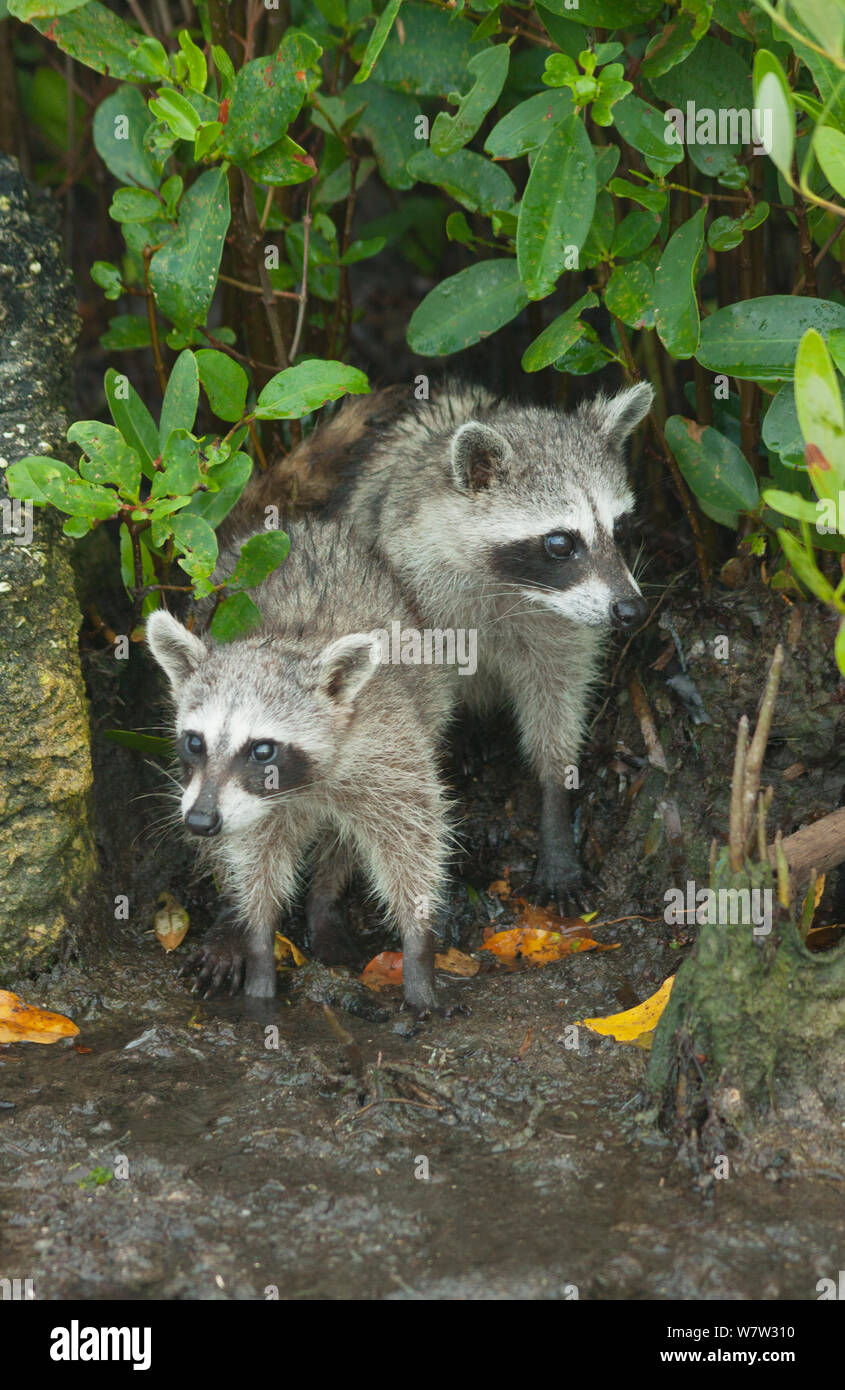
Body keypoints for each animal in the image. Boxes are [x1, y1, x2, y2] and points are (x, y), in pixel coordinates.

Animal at [146, 516, 453, 1013]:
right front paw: (254, 942)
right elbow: (254, 863)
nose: (200, 820)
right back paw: (231, 913)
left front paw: (418, 948)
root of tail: (302, 525)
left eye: (262, 749)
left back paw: (324, 900)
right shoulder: (238, 805)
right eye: (195, 741)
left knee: (343, 839)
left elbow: (411, 842)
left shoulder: (388, 750)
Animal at [251, 381, 653, 913]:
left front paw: (554, 797)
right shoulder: (413, 589)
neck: (514, 588)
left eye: (621, 529)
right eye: (561, 543)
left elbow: (558, 698)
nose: (632, 611)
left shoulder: (563, 622)